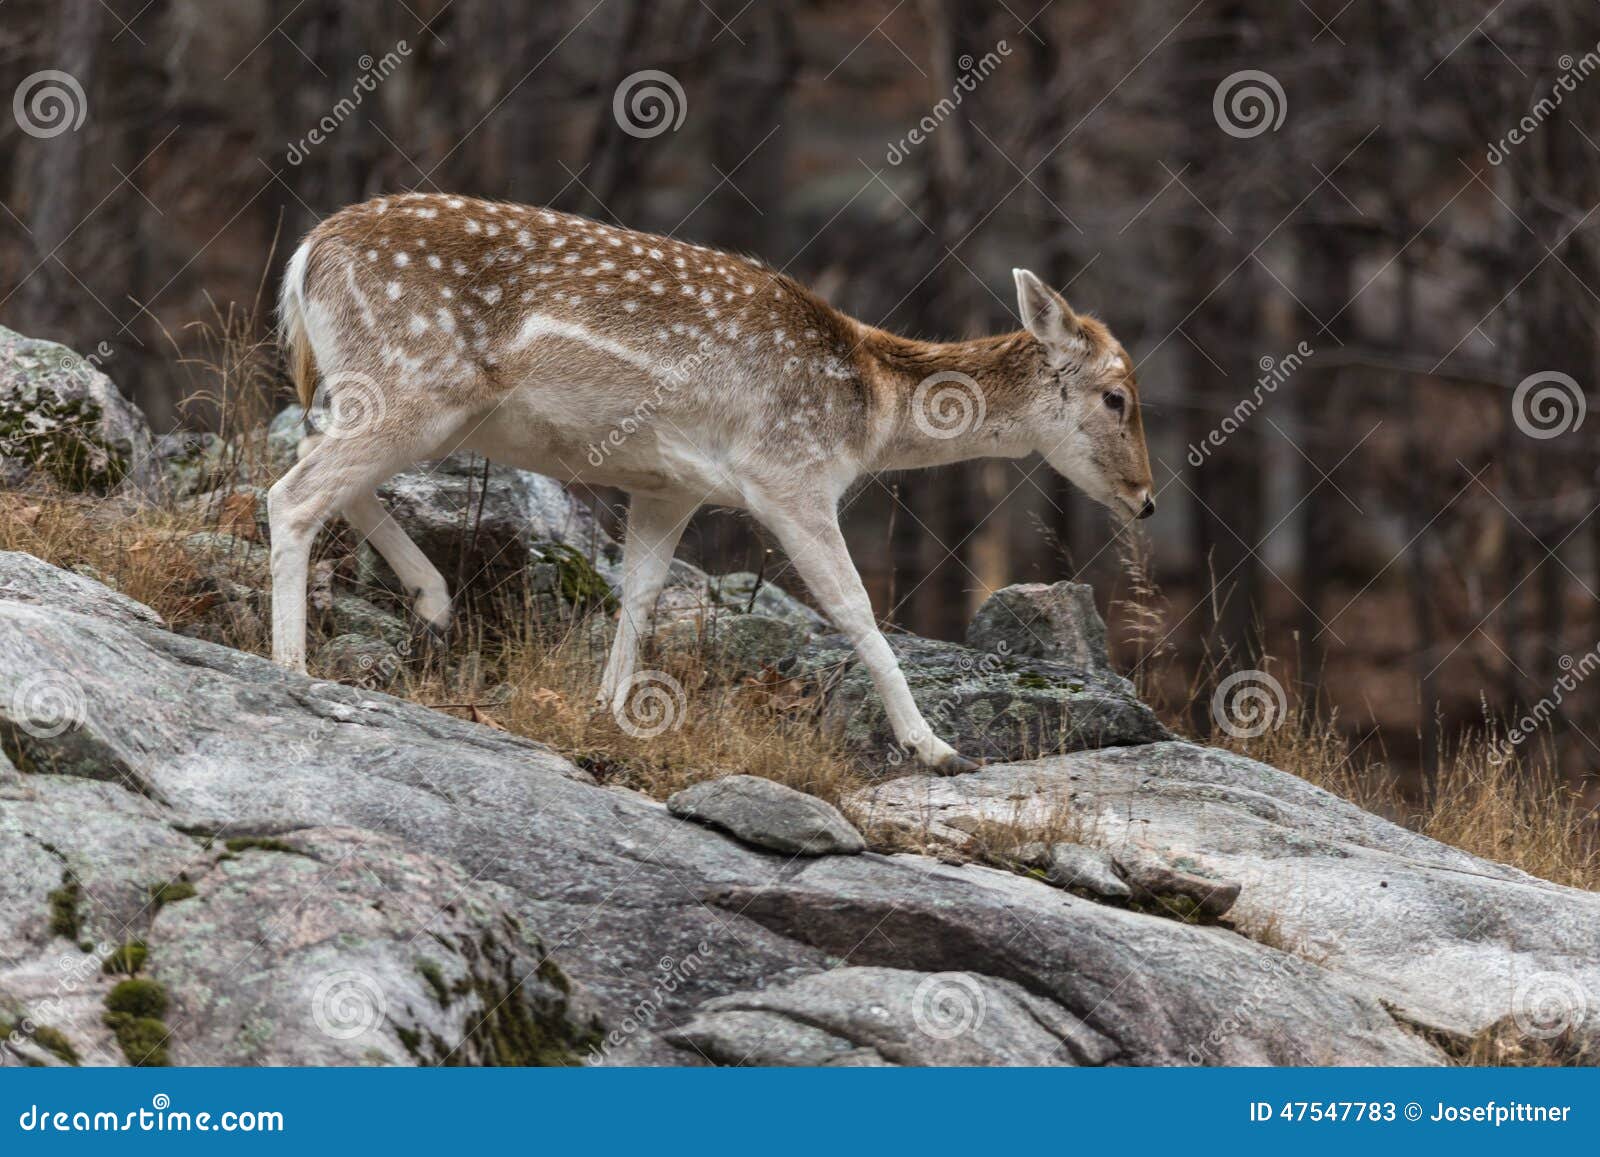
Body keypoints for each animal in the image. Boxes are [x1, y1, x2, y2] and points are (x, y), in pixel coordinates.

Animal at [271, 194, 1154, 773]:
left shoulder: (670, 487)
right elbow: (857, 609)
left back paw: (432, 600)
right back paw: (294, 666)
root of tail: (304, 255)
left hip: (396, 399)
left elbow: (639, 594)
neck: (866, 410)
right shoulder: (789, 476)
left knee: (320, 468)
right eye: (1118, 396)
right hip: (411, 381)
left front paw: (608, 712)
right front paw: (936, 746)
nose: (1147, 498)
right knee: (293, 493)